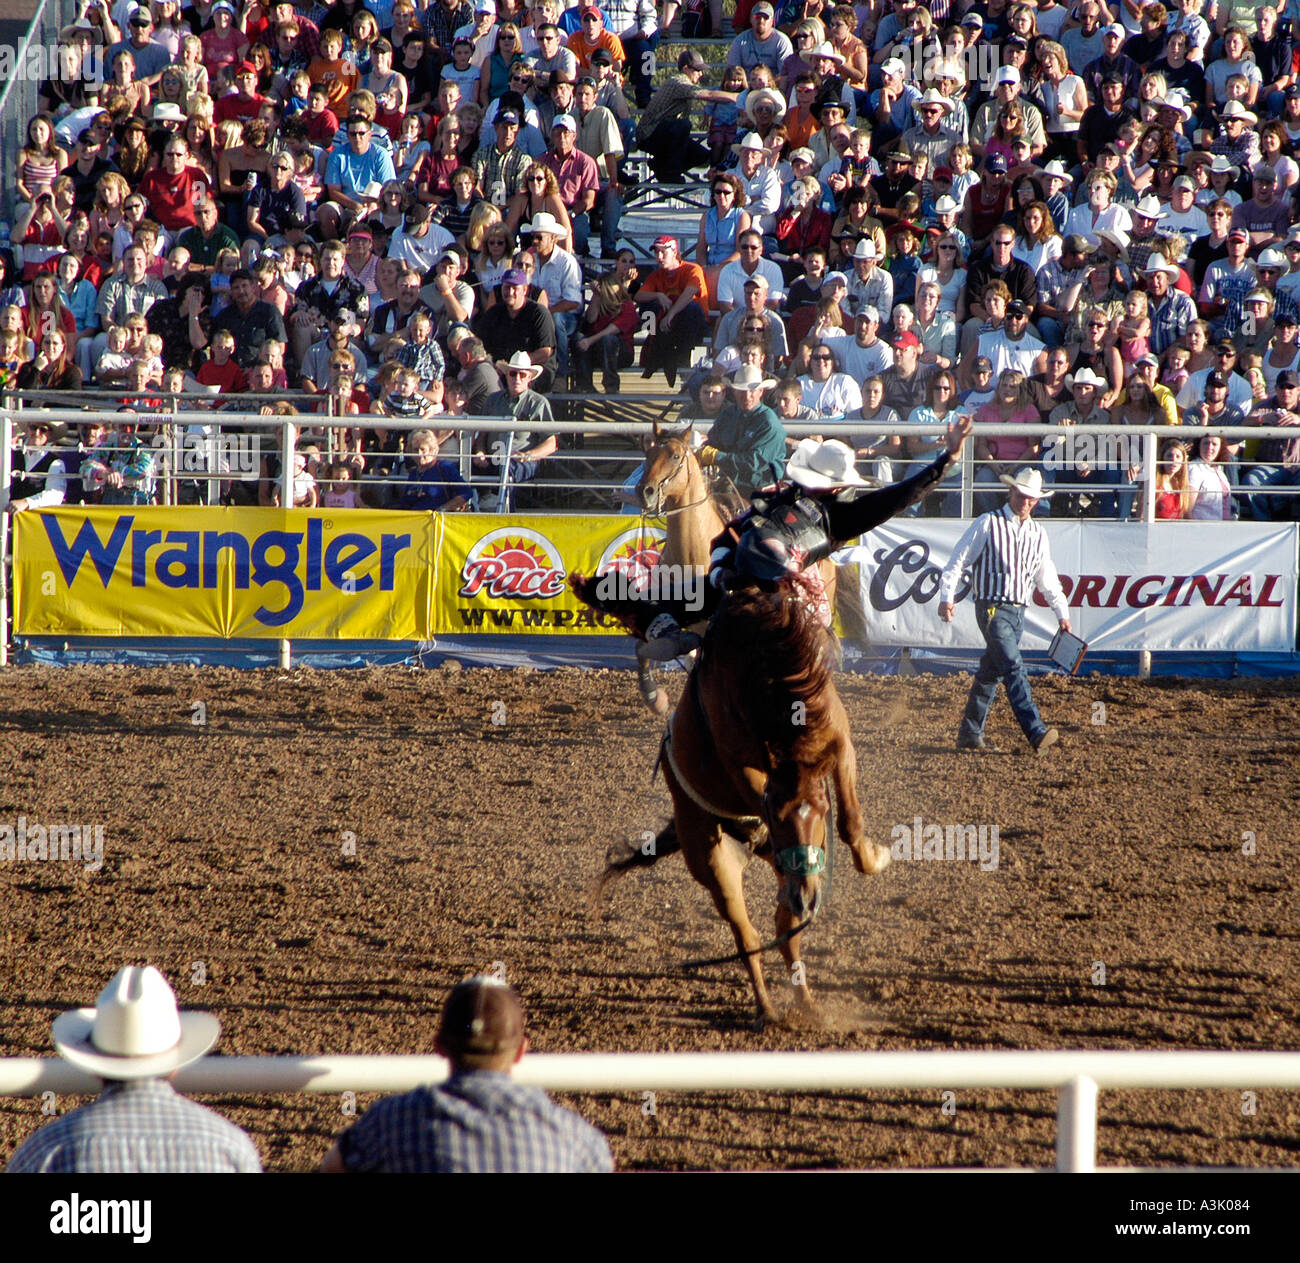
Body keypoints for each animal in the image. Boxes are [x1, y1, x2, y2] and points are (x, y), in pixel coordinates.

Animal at [595, 582, 891, 1025]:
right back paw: (768, 1009)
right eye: (780, 818)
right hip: (714, 862)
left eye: (821, 812)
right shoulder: (740, 762)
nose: (807, 894)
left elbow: (849, 820)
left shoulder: (838, 740)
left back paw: (806, 1002)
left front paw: (874, 856)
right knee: (748, 936)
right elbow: (760, 790)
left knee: (785, 931)